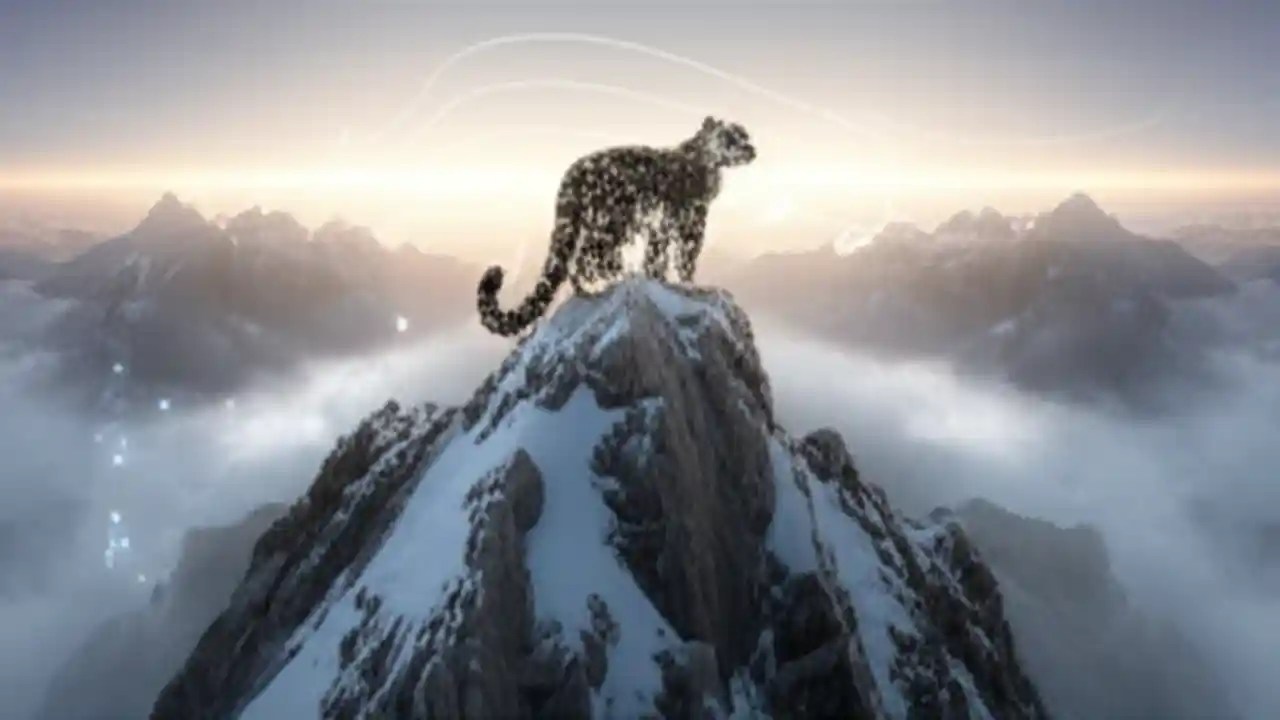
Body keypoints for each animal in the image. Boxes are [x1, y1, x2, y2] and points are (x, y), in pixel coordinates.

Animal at [476, 116, 756, 336]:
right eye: (730, 137)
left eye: (745, 134)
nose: (752, 149)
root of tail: (570, 177)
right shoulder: (692, 224)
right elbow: (685, 259)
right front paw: (691, 286)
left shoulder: (661, 226)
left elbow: (656, 256)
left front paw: (658, 280)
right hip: (612, 224)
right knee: (586, 257)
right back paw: (604, 284)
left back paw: (593, 288)